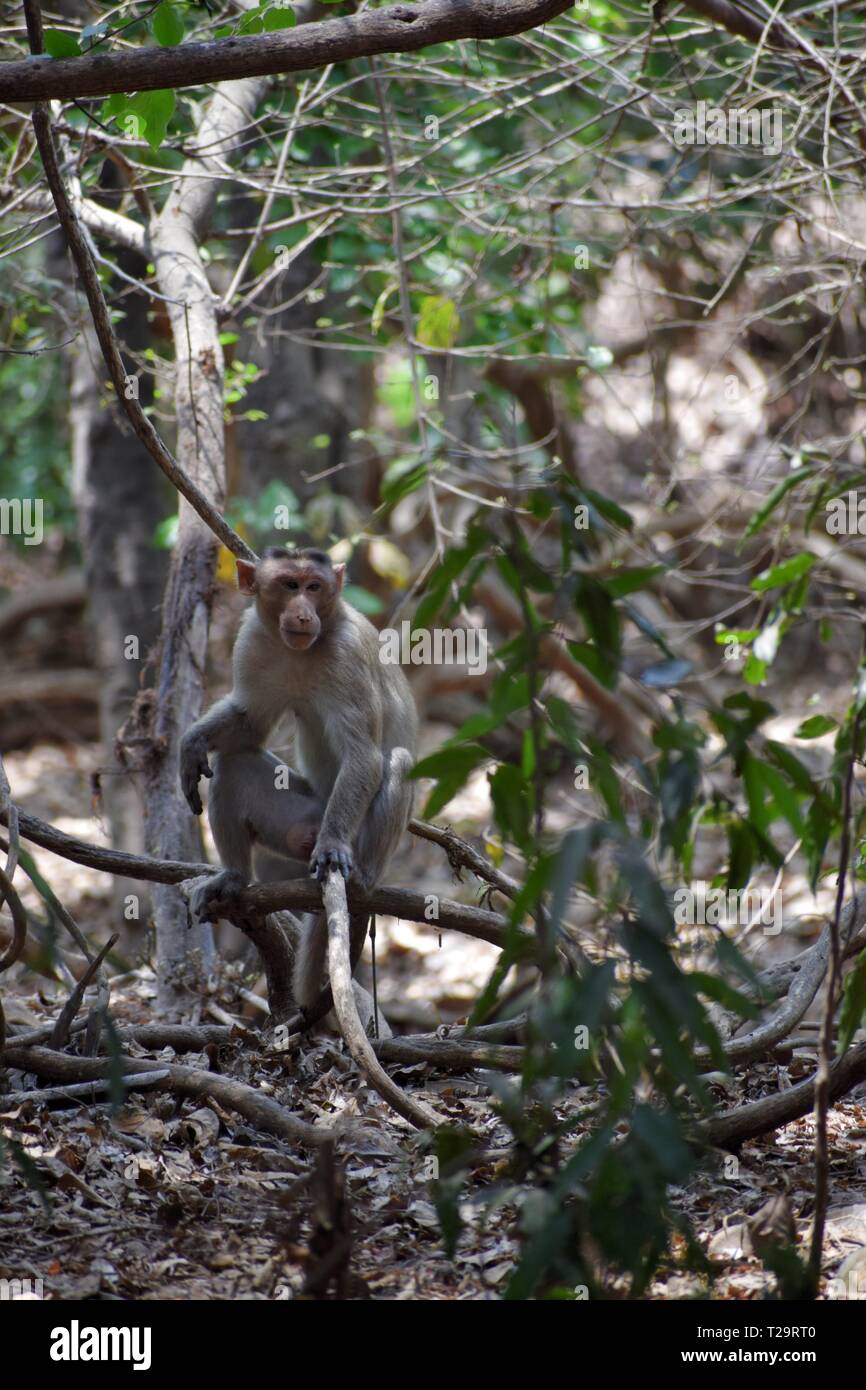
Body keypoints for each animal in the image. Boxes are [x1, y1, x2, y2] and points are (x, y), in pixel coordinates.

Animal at [179, 547, 417, 1018]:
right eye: (290, 585)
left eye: (315, 586)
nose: (304, 613)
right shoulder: (253, 640)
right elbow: (249, 725)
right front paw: (192, 742)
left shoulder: (348, 654)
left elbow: (363, 754)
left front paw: (332, 848)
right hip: (301, 819)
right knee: (234, 763)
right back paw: (234, 879)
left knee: (396, 762)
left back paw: (360, 879)